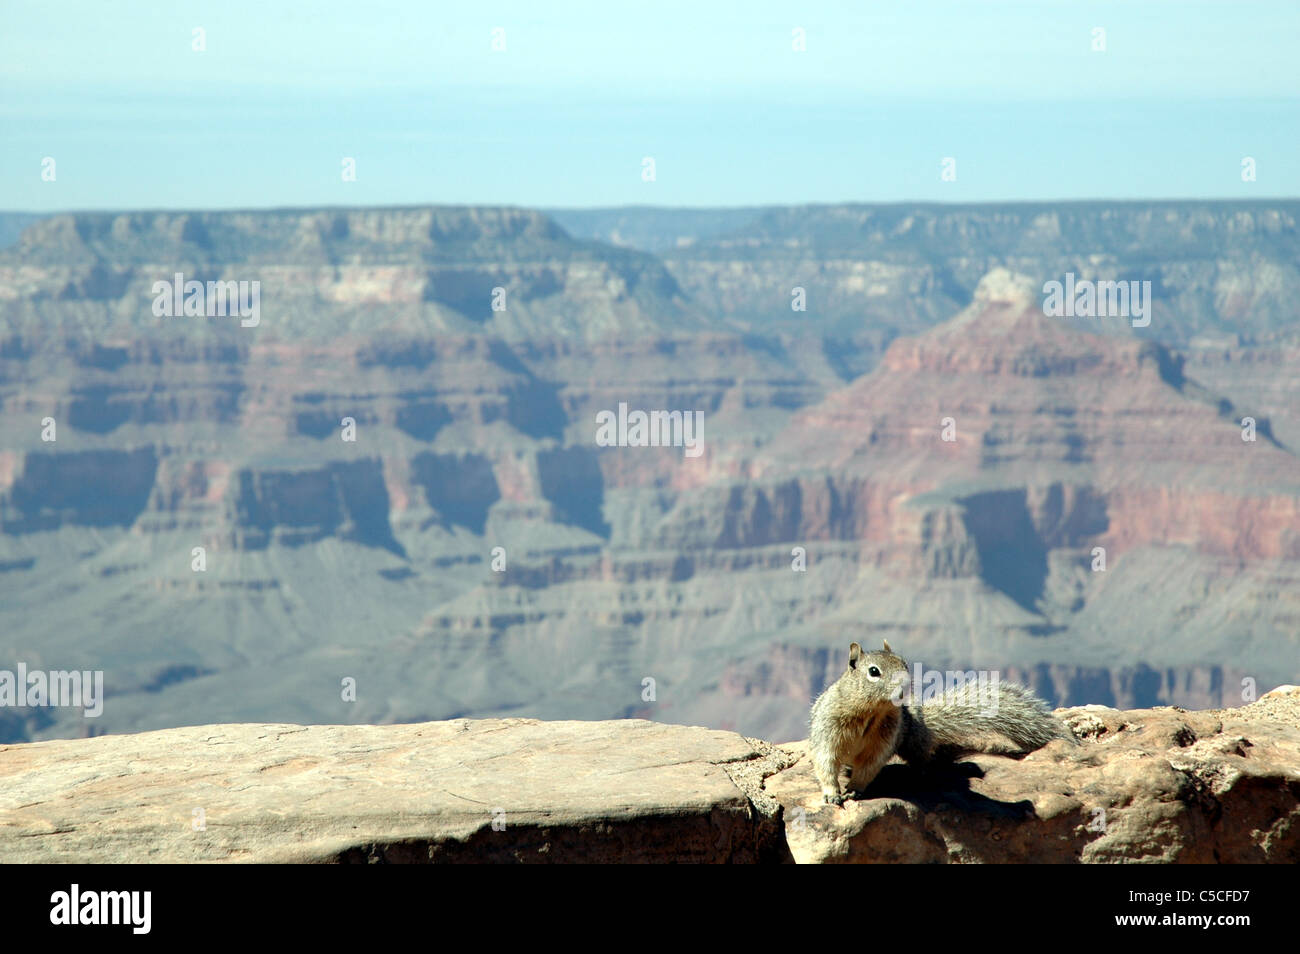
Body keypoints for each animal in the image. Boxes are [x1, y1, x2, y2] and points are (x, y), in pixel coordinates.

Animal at [809, 639, 1076, 805]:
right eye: (874, 671)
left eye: (904, 664)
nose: (905, 686)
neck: (871, 711)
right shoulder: (828, 730)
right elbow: (825, 761)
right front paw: (832, 794)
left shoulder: (883, 739)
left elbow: (869, 766)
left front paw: (855, 789)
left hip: (912, 739)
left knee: (923, 758)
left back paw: (924, 774)